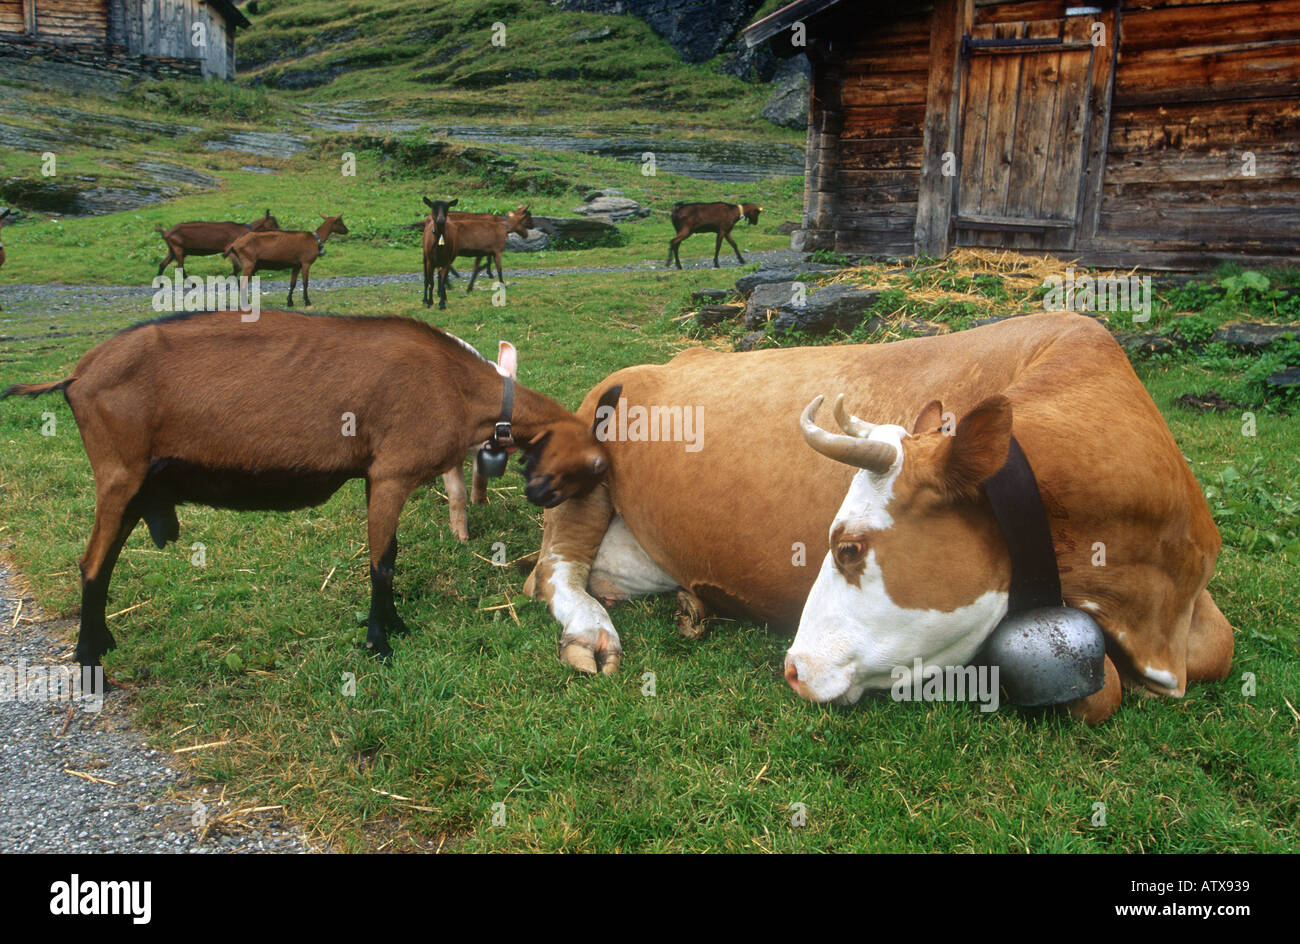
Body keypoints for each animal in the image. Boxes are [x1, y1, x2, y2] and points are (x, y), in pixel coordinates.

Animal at [2, 309, 616, 669]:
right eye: (594, 464)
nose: (540, 499)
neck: (458, 385)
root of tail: (77, 375)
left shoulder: (378, 476)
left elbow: (388, 555)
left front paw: (392, 626)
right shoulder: (390, 473)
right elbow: (382, 562)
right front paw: (379, 642)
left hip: (137, 482)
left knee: (103, 561)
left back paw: (103, 642)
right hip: (117, 473)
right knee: (91, 561)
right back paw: (89, 659)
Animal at [524, 313, 1234, 724]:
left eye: (849, 548)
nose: (792, 668)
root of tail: (672, 359)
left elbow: (1219, 650)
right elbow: (1102, 688)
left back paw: (691, 605)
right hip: (581, 457)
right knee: (554, 567)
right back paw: (592, 632)